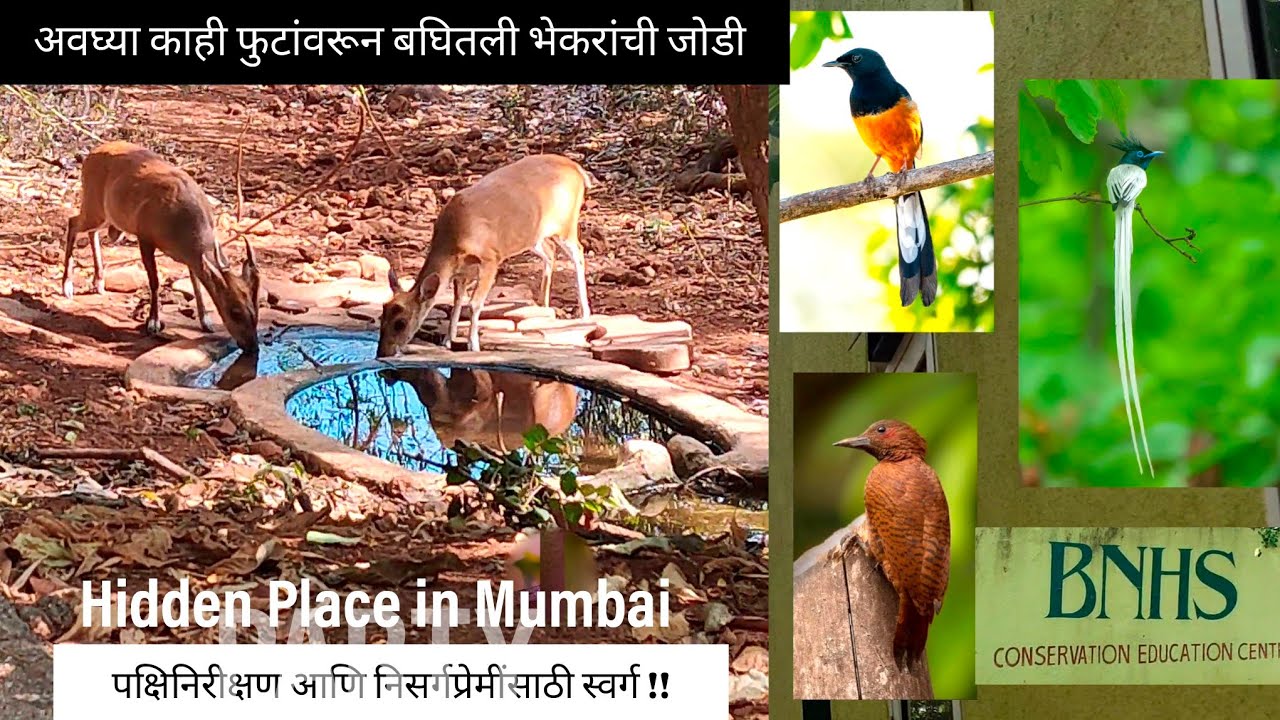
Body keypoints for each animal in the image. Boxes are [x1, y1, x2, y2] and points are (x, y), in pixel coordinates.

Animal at [61, 140, 261, 352]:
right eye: (234, 311)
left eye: (256, 309)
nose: (253, 346)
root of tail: (90, 155)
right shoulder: (145, 235)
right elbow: (154, 280)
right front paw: (153, 322)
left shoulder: (191, 255)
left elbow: (196, 283)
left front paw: (206, 321)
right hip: (94, 205)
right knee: (73, 222)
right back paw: (67, 286)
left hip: (109, 218)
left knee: (92, 232)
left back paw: (99, 282)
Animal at [376, 153, 594, 357]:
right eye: (382, 315)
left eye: (400, 323)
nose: (381, 353)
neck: (454, 241)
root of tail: (577, 169)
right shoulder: (462, 269)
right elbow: (457, 301)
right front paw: (448, 340)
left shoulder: (491, 258)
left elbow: (474, 304)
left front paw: (473, 345)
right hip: (533, 235)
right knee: (550, 252)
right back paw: (543, 304)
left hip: (566, 222)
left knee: (578, 252)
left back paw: (585, 312)